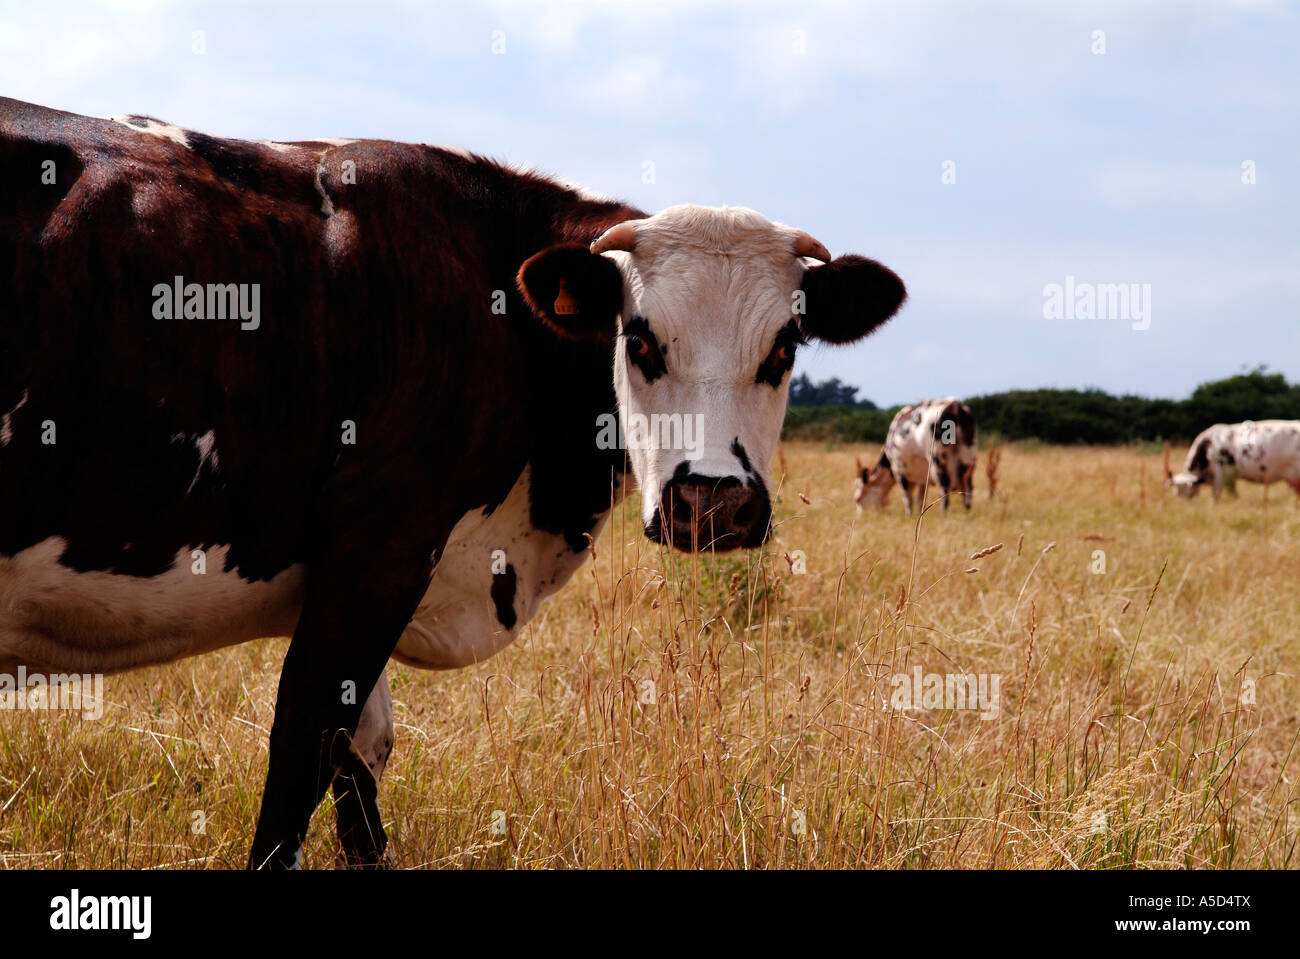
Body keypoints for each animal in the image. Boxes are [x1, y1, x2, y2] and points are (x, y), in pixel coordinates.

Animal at [0, 98, 907, 868]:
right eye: (641, 339)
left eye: (785, 346)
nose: (713, 502)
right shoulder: (382, 550)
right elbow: (302, 753)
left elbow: (358, 768)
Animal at [1166, 420, 1300, 500]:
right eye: (1176, 493)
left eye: (1186, 491)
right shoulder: (1231, 477)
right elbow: (1233, 494)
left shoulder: (1221, 473)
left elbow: (1216, 496)